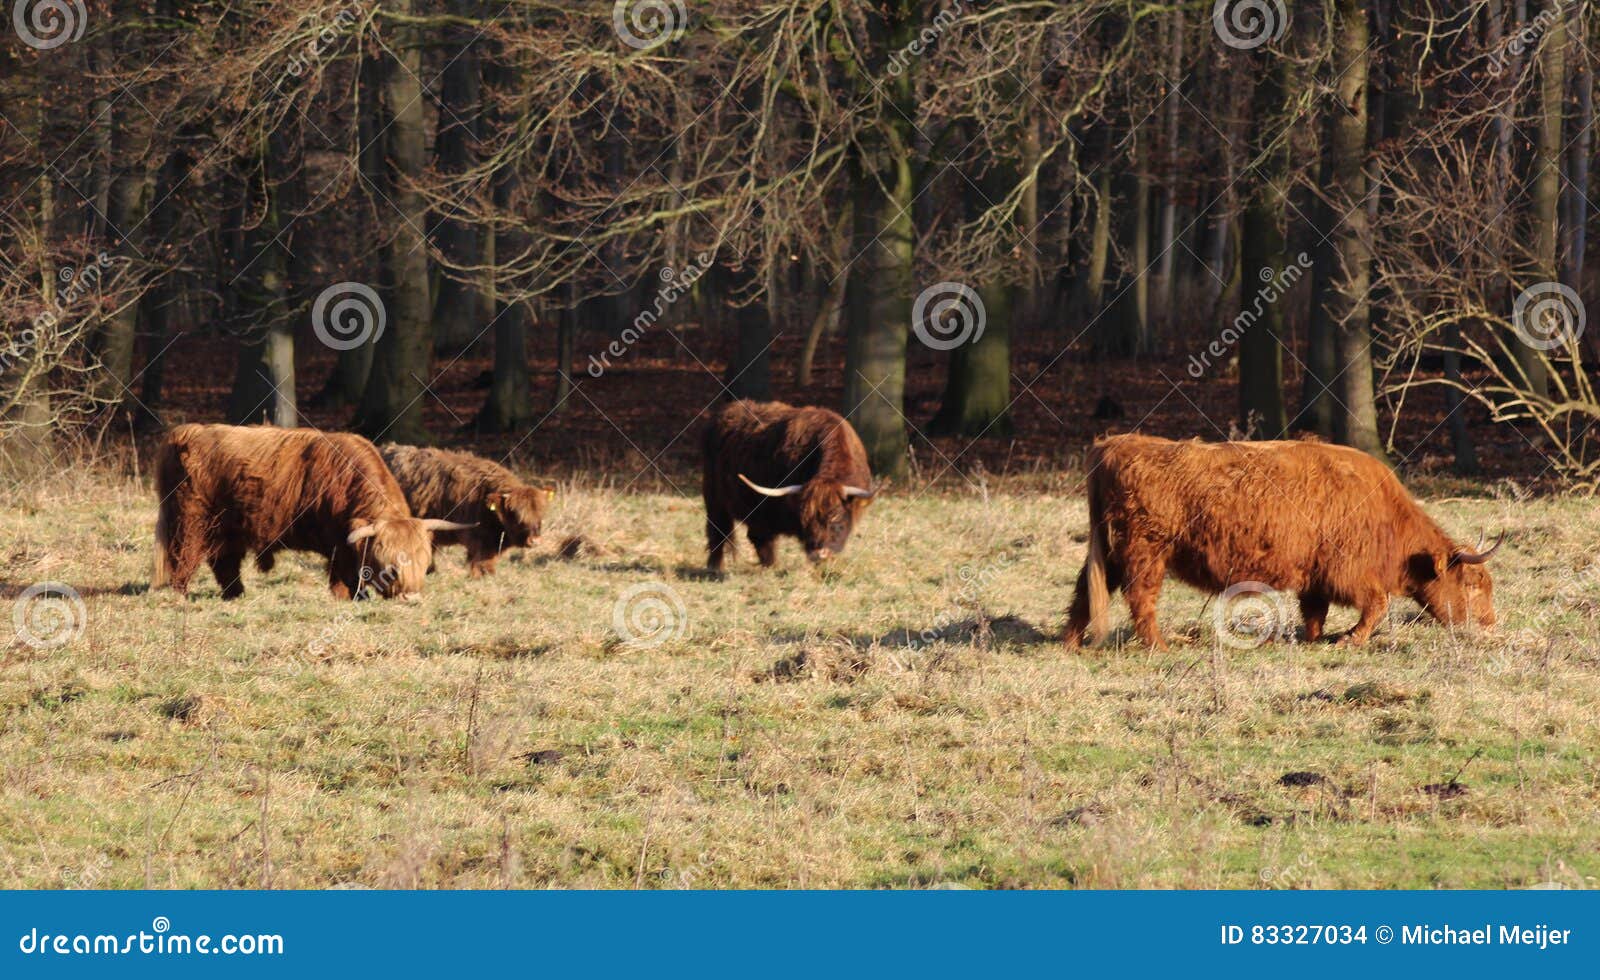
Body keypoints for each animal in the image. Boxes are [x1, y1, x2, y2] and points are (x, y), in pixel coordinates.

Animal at [152, 424, 471, 600]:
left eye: (424, 563)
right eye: (390, 567)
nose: (411, 596)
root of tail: (186, 432)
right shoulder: (338, 544)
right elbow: (343, 573)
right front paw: (348, 597)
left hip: (227, 527)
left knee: (224, 561)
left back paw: (235, 594)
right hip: (191, 519)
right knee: (184, 555)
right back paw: (181, 594)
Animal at [702, 400, 876, 571]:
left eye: (836, 518)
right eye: (804, 520)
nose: (818, 554)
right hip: (716, 498)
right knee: (720, 531)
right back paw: (717, 567)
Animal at [1063, 434, 1501, 650]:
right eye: (1472, 584)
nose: (1490, 625)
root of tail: (1117, 443)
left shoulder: (1317, 576)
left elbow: (1315, 611)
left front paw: (1313, 639)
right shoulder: (1349, 571)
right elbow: (1376, 605)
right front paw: (1349, 640)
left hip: (1109, 552)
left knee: (1085, 592)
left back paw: (1071, 643)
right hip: (1145, 551)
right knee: (1140, 597)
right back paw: (1159, 645)